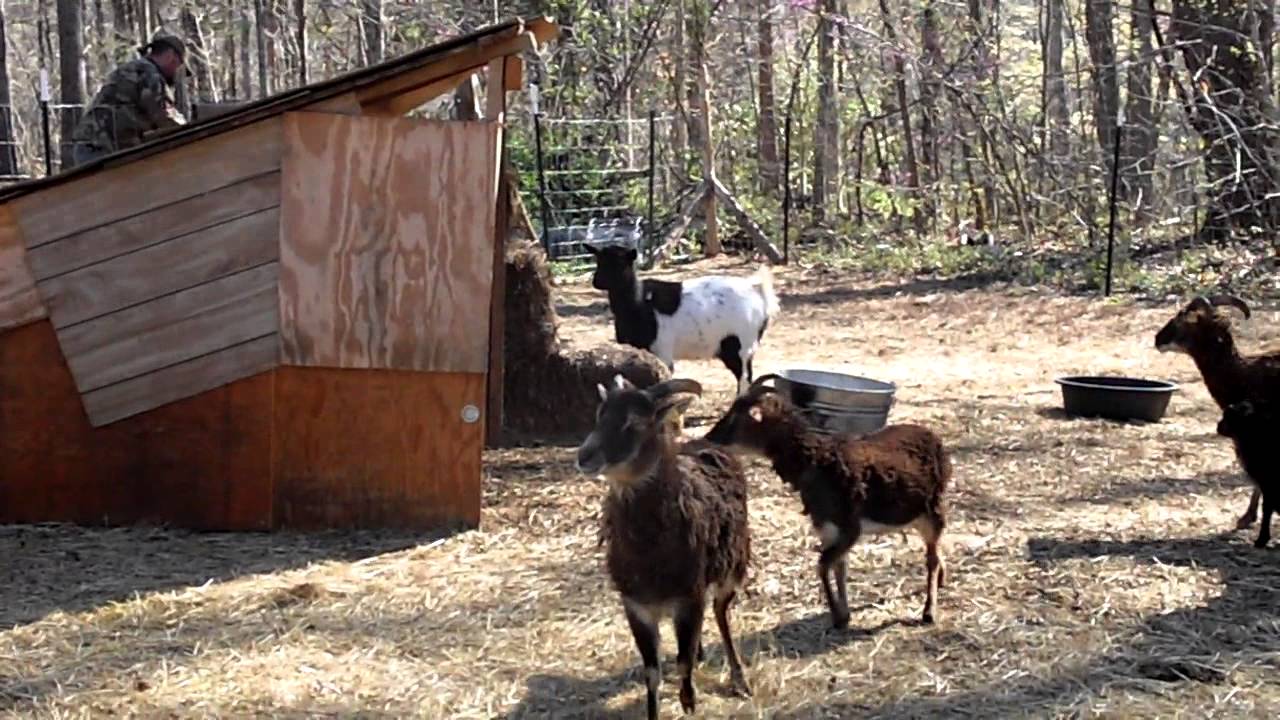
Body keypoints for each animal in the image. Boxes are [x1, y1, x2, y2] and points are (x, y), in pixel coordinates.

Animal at [576, 375, 753, 719]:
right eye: (599, 415)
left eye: (635, 422)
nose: (584, 456)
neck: (649, 555)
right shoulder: (636, 605)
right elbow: (652, 672)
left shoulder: (688, 595)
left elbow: (683, 662)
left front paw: (689, 701)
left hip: (732, 562)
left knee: (720, 610)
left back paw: (740, 679)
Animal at [585, 244, 781, 397]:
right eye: (598, 260)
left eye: (620, 264)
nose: (597, 281)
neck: (640, 302)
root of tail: (758, 292)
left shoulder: (662, 350)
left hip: (740, 344)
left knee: (745, 377)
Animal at [703, 375, 952, 627]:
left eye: (737, 415)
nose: (708, 438)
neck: (818, 461)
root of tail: (934, 438)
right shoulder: (828, 528)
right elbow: (839, 567)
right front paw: (845, 613)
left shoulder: (849, 527)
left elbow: (823, 565)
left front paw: (838, 616)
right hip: (915, 514)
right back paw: (941, 580)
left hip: (933, 508)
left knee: (931, 558)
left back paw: (929, 611)